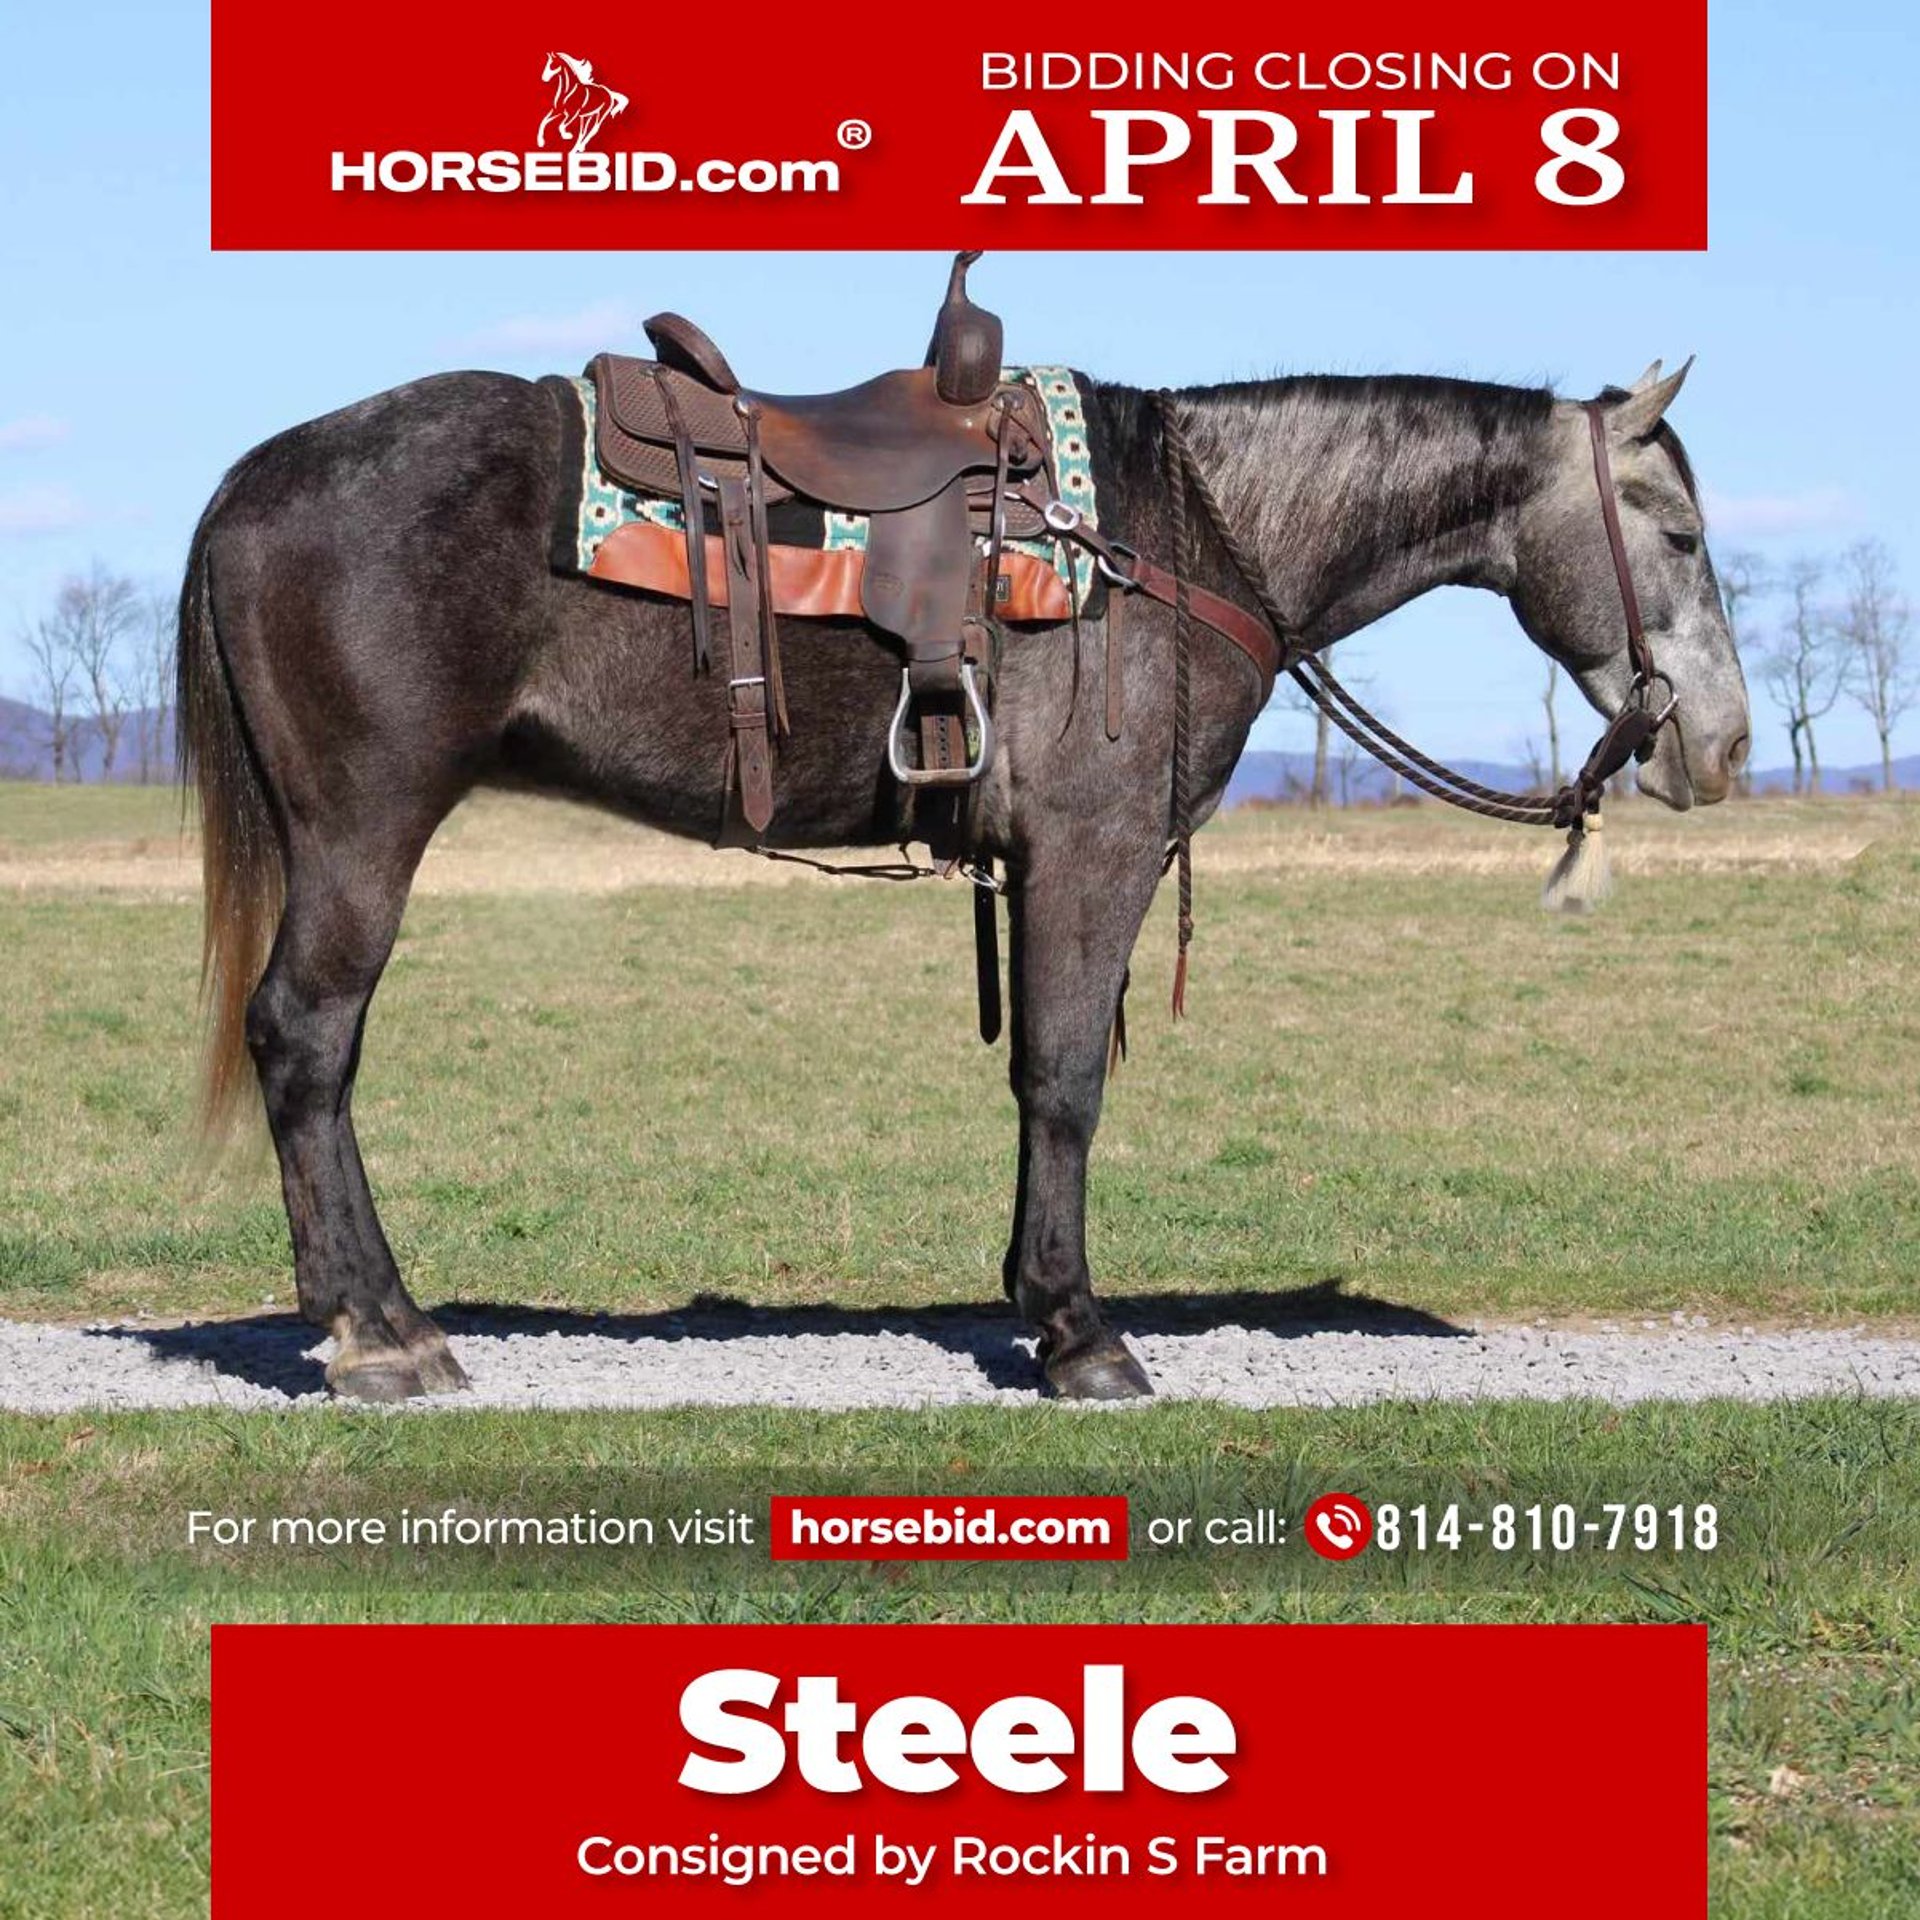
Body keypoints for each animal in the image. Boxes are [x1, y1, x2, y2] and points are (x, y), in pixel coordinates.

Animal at [174, 352, 1749, 1403]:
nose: (1723, 743)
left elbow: (1036, 1080)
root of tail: (256, 474)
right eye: (1677, 534)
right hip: (366, 835)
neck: (1185, 529)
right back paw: (381, 1337)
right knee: (305, 1042)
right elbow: (1063, 1080)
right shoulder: (1093, 855)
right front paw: (1080, 1333)